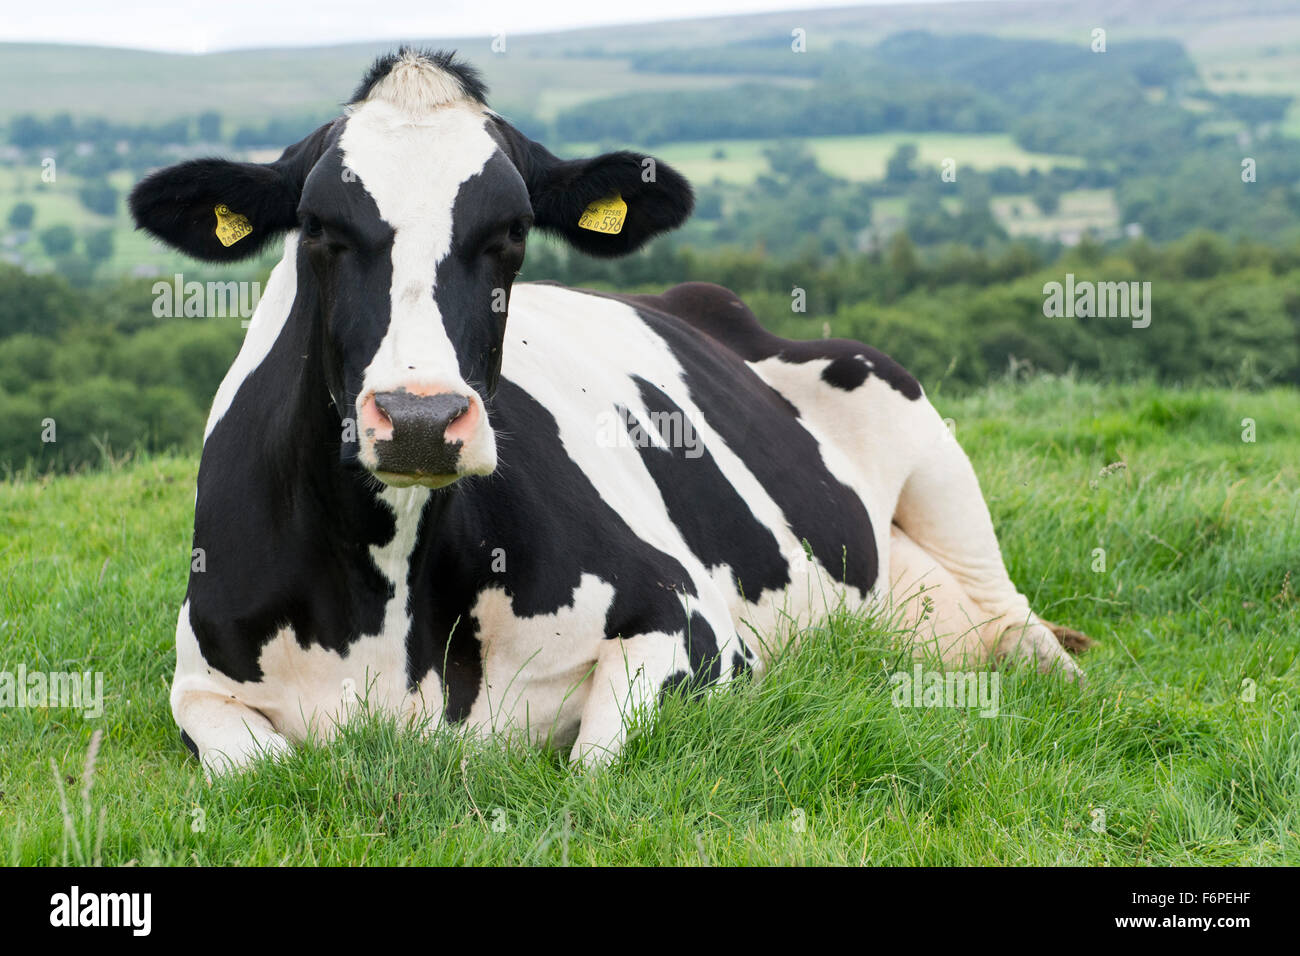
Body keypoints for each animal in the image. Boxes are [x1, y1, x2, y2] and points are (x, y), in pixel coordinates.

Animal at [129, 48, 1087, 777]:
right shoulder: (198, 683)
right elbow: (258, 768)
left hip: (916, 430)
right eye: (320, 228)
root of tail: (699, 296)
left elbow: (592, 764)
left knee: (1011, 617)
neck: (389, 606)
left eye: (512, 232)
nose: (419, 419)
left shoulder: (688, 623)